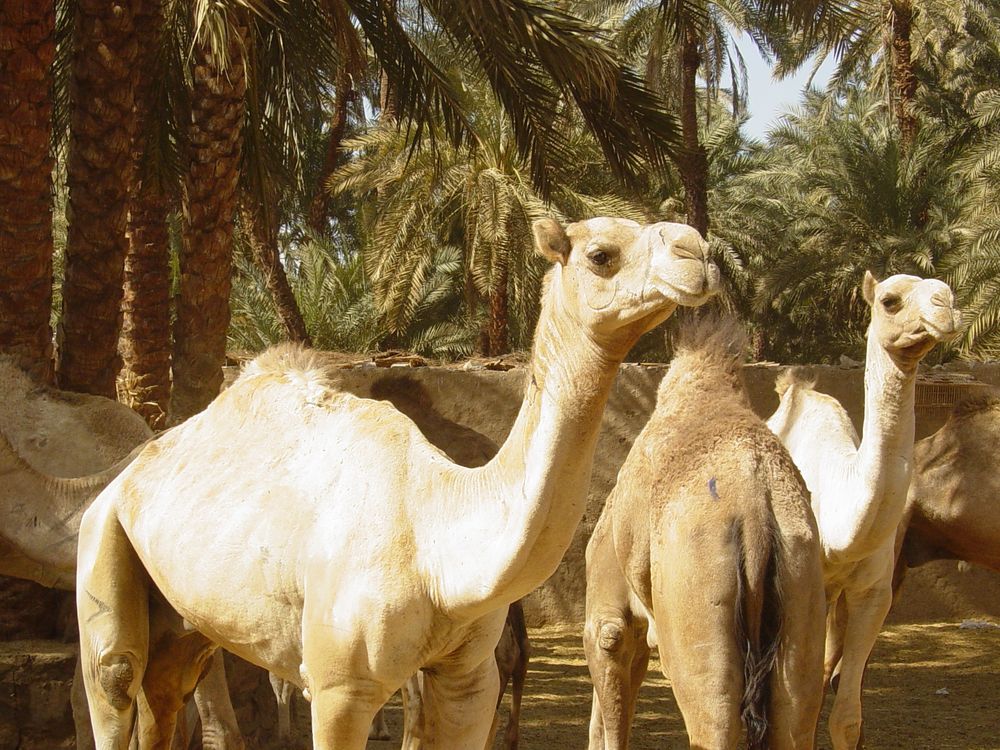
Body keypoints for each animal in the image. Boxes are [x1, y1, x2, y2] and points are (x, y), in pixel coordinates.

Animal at [75, 216, 719, 749]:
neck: (437, 538)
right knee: (116, 675)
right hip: (101, 538)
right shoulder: (339, 686)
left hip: (186, 617)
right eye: (601, 254)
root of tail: (123, 477)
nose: (699, 252)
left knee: (167, 688)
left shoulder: (469, 678)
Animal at [584, 316, 826, 750]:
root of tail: (755, 504)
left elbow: (611, 651)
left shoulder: (609, 613)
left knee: (713, 720)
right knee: (794, 718)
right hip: (804, 585)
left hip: (697, 602)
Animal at [766, 271, 961, 750]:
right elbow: (801, 703)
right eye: (890, 300)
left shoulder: (874, 590)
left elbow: (846, 716)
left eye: (949, 291)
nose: (946, 306)